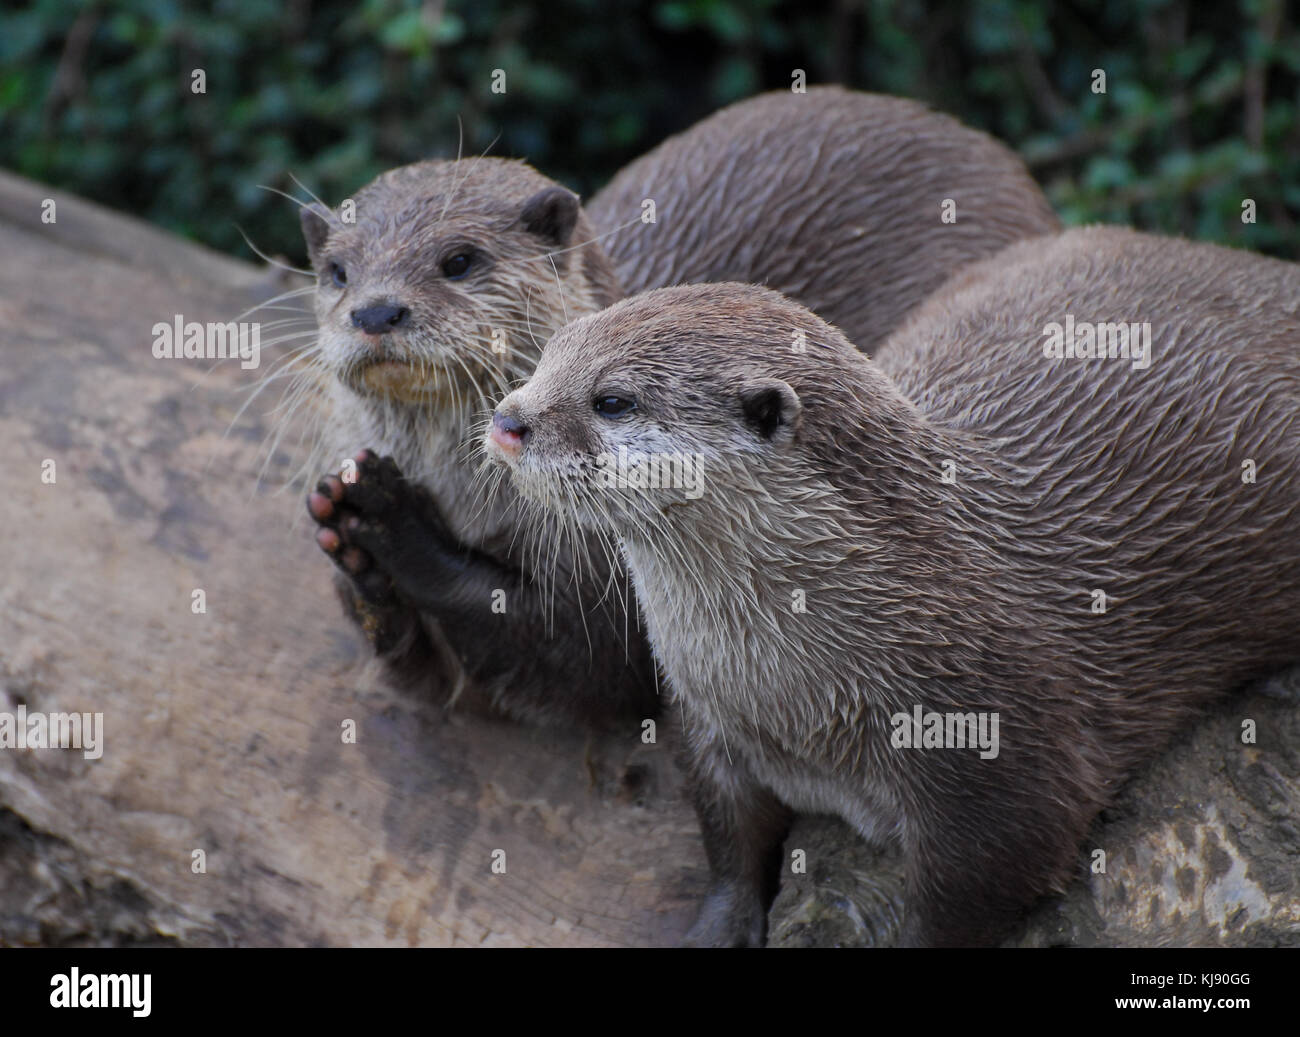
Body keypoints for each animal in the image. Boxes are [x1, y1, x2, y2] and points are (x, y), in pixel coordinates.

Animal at [297, 87, 1059, 727]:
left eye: (458, 260)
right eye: (337, 272)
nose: (375, 311)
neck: (466, 500)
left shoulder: (608, 600)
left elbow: (575, 664)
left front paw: (387, 517)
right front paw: (348, 536)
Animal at [483, 227, 1300, 945]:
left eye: (612, 400)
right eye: (548, 355)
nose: (507, 419)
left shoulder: (997, 755)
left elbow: (976, 886)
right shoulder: (708, 714)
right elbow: (726, 835)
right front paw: (717, 926)